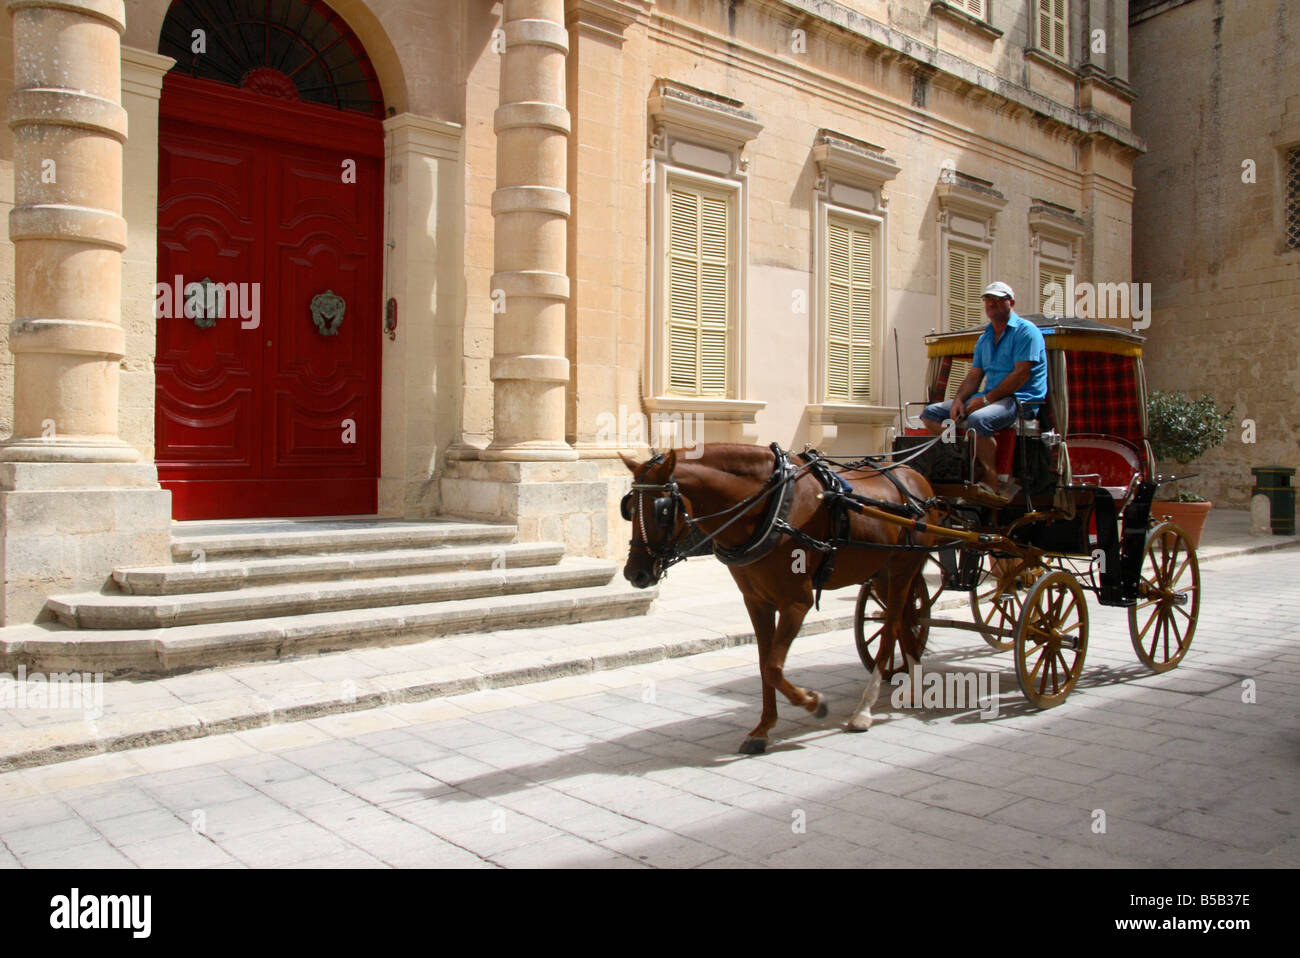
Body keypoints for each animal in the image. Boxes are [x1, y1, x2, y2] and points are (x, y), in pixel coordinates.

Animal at [619, 442, 942, 754]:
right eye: (628, 508)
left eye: (661, 510)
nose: (635, 573)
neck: (771, 508)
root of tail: (916, 477)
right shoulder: (756, 601)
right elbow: (765, 664)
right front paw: (762, 729)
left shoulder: (796, 602)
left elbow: (773, 667)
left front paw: (813, 702)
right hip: (882, 573)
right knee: (904, 620)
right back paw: (912, 687)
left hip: (903, 568)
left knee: (890, 630)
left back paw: (864, 710)